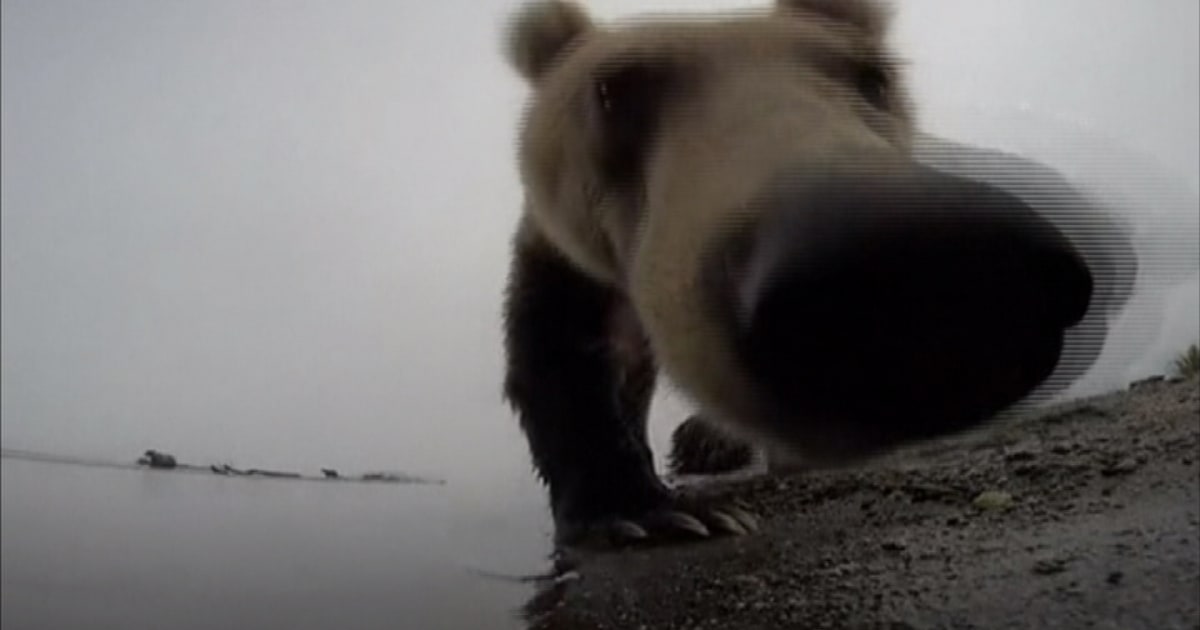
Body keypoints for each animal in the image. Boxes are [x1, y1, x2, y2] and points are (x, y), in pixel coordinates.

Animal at [500, 0, 1134, 548]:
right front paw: (655, 514)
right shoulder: (569, 261)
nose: (917, 258)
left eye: (873, 75)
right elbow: (565, 362)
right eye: (612, 89)